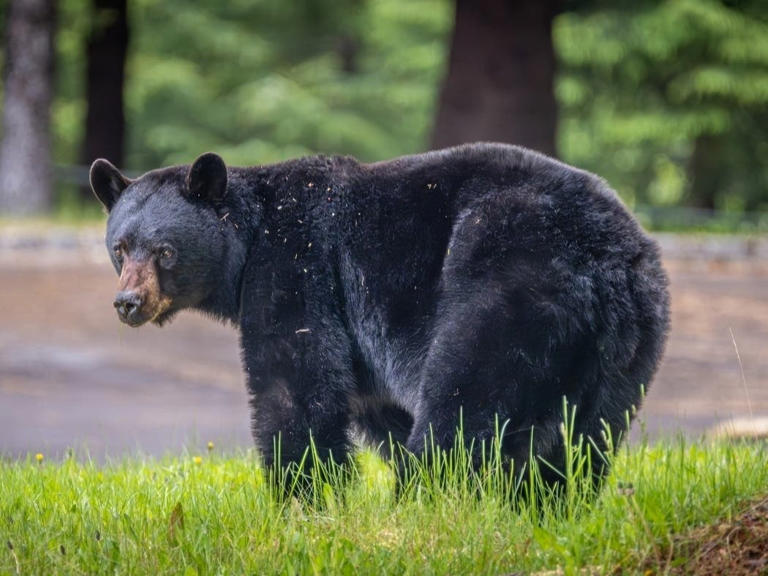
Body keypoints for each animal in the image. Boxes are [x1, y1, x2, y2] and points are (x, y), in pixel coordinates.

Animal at [90, 143, 669, 490]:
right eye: (120, 247)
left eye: (164, 251)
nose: (128, 303)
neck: (248, 242)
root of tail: (607, 259)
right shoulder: (361, 339)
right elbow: (374, 403)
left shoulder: (297, 265)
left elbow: (295, 382)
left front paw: (304, 497)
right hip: (629, 346)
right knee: (585, 440)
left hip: (509, 284)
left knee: (464, 405)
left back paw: (423, 501)